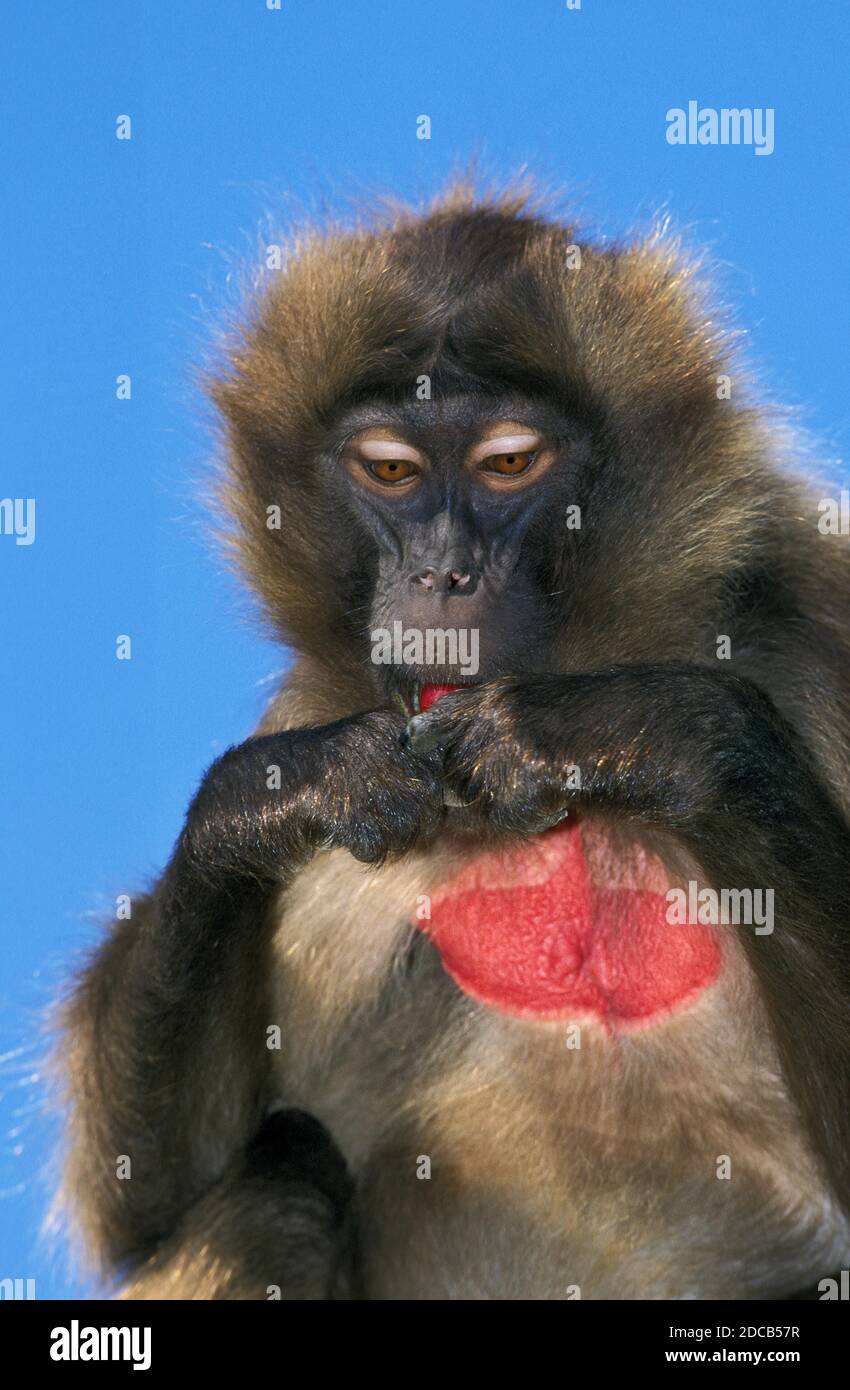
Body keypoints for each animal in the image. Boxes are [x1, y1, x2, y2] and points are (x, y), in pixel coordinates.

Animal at [56, 179, 850, 1300]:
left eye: (508, 462)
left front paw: (640, 732)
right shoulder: (334, 712)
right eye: (389, 470)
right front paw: (273, 796)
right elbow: (145, 1198)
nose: (441, 576)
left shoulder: (811, 639)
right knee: (280, 1177)